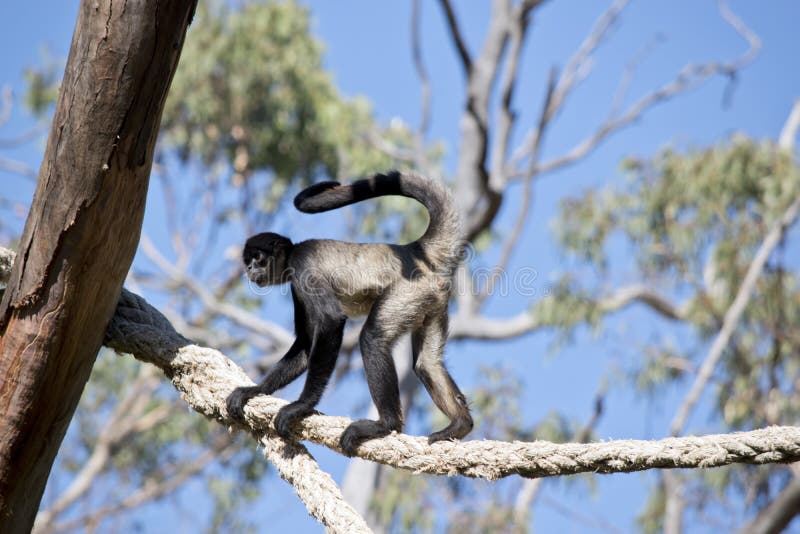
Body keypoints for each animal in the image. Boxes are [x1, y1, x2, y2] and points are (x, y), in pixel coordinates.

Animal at [227, 170, 473, 456]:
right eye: (248, 262)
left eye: (258, 258)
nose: (250, 270)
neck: (293, 253)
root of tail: (410, 250)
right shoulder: (296, 285)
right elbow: (305, 344)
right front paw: (256, 389)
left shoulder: (303, 265)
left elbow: (332, 321)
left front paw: (302, 406)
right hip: (432, 300)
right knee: (427, 364)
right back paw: (460, 425)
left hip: (409, 291)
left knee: (372, 338)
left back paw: (386, 425)